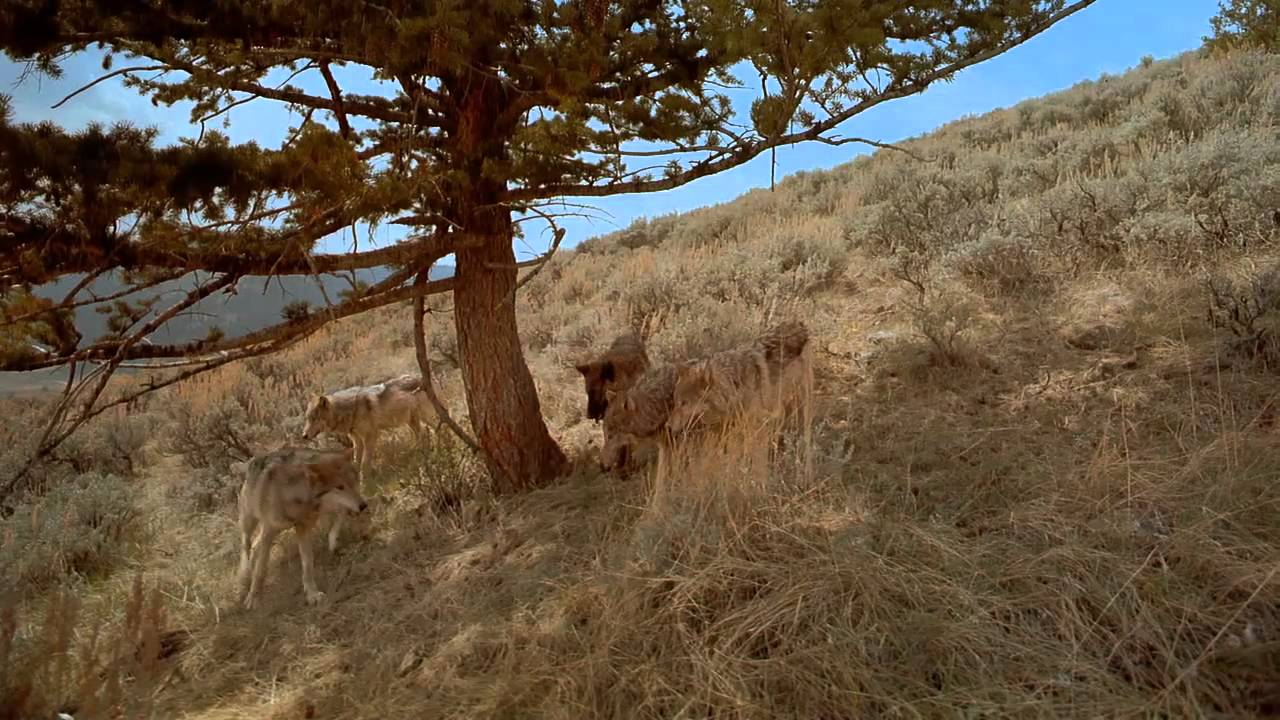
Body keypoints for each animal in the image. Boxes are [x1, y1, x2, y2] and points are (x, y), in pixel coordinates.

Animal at [235, 446, 368, 610]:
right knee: (246, 545)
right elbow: (260, 570)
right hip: (249, 521)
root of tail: (250, 462)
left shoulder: (303, 528)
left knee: (254, 546)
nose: (363, 505)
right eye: (340, 487)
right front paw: (253, 599)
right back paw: (244, 577)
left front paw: (312, 594)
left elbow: (307, 564)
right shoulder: (270, 530)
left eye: (354, 480)